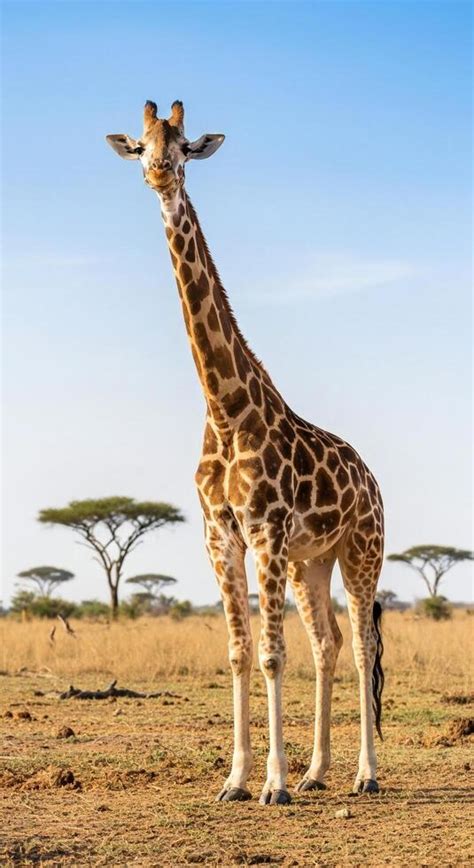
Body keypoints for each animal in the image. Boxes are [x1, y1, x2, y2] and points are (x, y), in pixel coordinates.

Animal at [106, 100, 385, 805]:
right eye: (140, 144)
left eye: (183, 145)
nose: (158, 172)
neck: (225, 411)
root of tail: (372, 481)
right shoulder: (219, 534)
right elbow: (237, 653)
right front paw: (236, 780)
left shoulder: (266, 532)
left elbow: (270, 654)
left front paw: (273, 785)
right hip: (312, 562)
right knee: (328, 643)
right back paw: (319, 772)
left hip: (360, 550)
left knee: (363, 645)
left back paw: (365, 775)